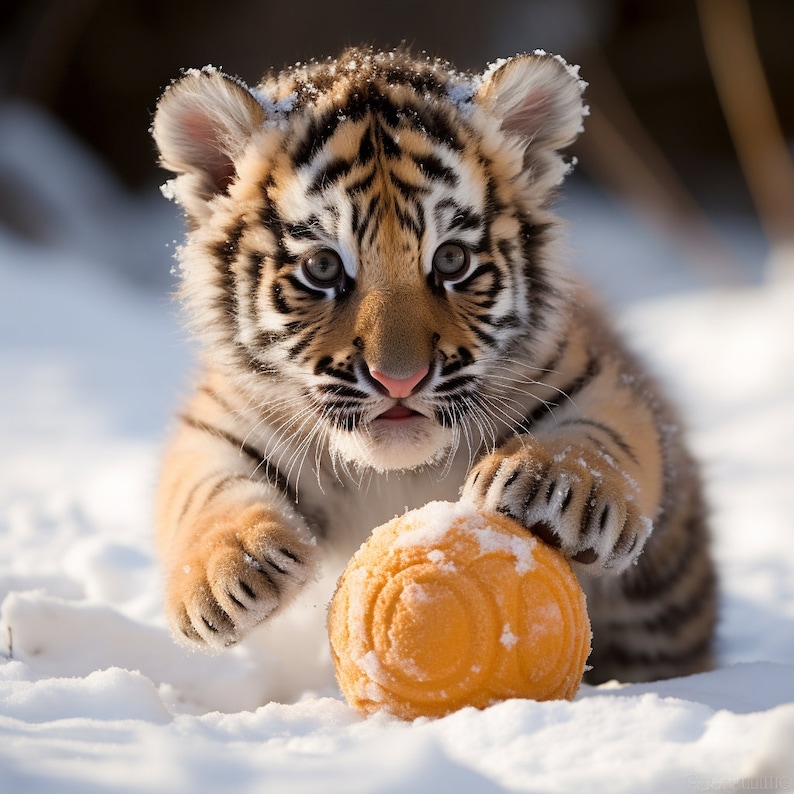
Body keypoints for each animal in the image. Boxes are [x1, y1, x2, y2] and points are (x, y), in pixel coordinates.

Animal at [151, 46, 717, 686]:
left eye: (450, 260)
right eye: (323, 268)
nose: (399, 379)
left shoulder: (592, 379)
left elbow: (596, 437)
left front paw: (557, 489)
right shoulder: (220, 421)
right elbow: (206, 488)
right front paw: (232, 570)